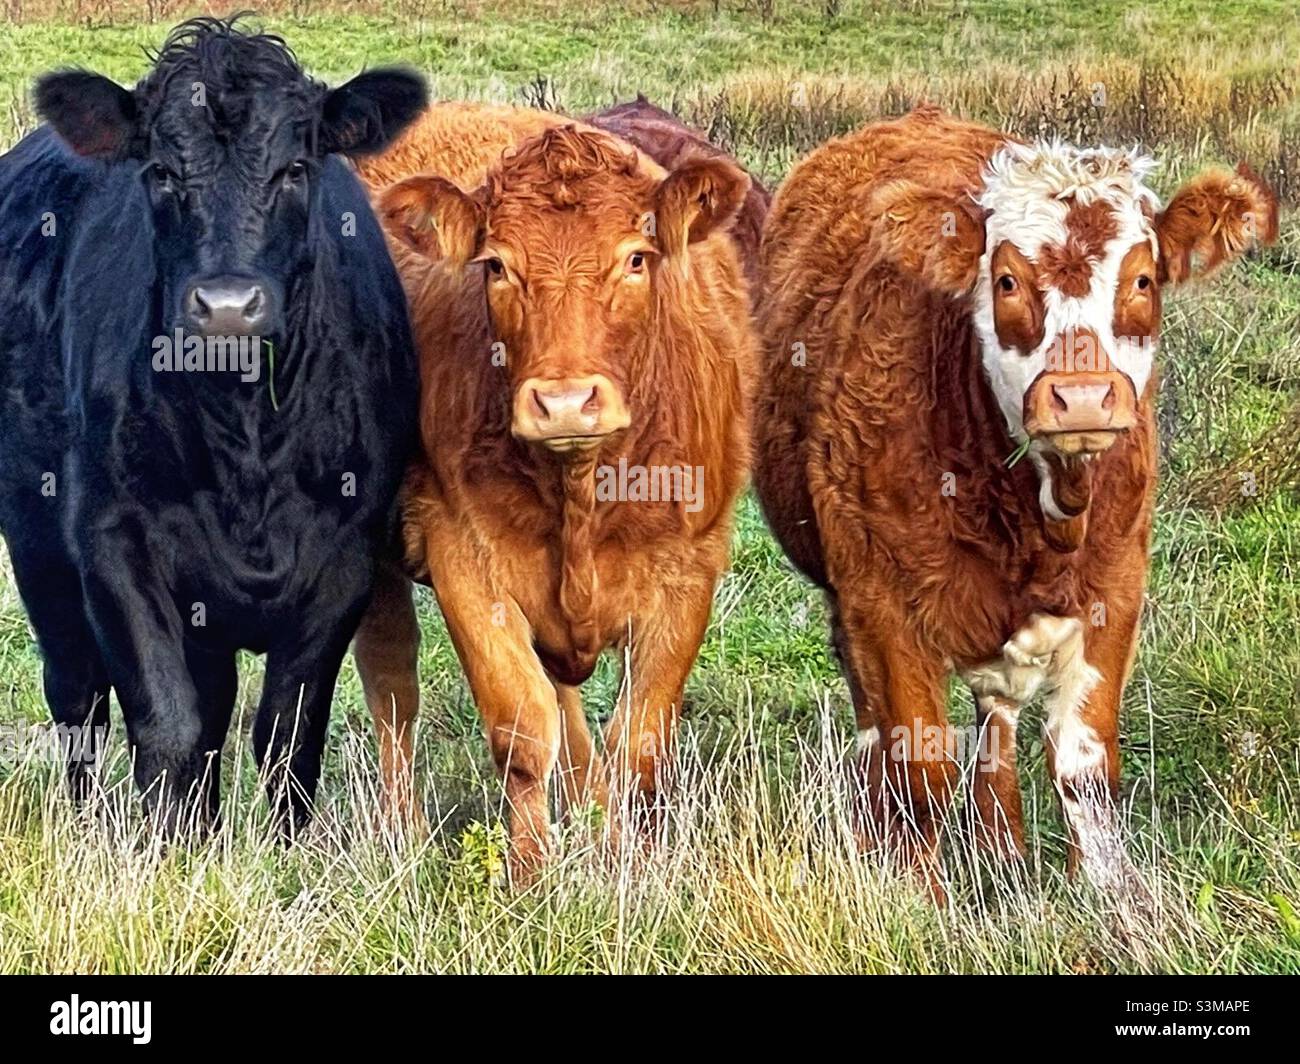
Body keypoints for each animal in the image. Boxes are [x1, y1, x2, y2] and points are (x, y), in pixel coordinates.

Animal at [0, 17, 427, 833]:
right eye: (163, 173)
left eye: (295, 168)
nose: (227, 307)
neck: (247, 445)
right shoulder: (111, 537)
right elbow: (167, 721)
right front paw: (164, 848)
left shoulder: (348, 555)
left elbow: (288, 733)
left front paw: (284, 850)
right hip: (34, 540)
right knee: (77, 695)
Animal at [350, 103, 756, 878]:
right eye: (497, 265)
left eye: (636, 257)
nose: (564, 402)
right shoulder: (462, 558)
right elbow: (522, 730)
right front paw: (530, 873)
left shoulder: (691, 569)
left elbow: (638, 740)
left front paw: (626, 862)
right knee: (392, 686)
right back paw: (399, 834)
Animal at [754, 105, 1278, 898]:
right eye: (1005, 280)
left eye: (1144, 278)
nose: (1084, 396)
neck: (1036, 522)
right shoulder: (881, 600)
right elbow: (919, 767)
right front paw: (916, 898)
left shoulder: (1115, 590)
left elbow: (1085, 766)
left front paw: (1109, 897)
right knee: (878, 722)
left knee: (996, 718)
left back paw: (1003, 851)